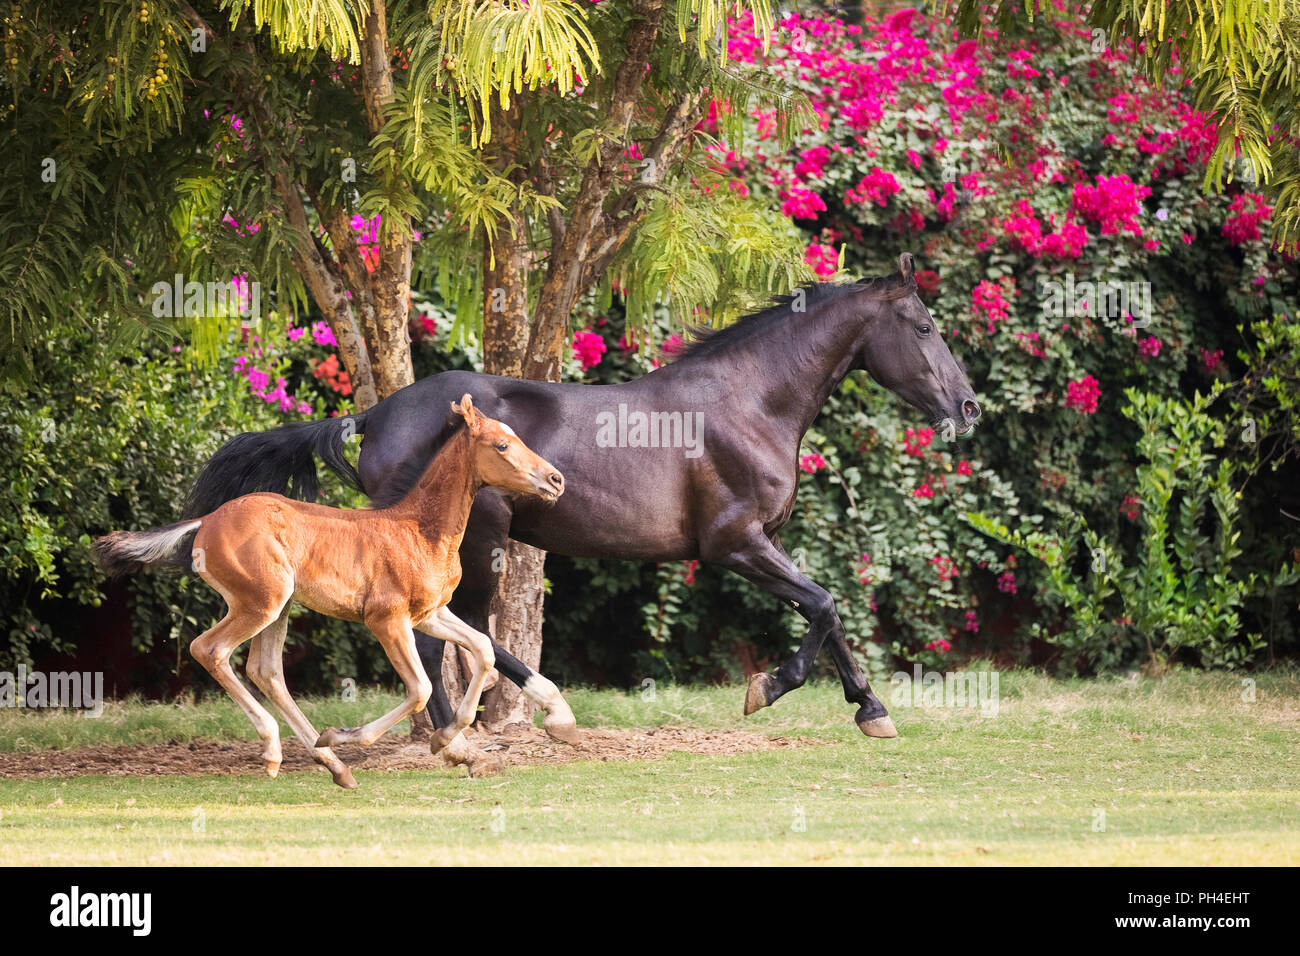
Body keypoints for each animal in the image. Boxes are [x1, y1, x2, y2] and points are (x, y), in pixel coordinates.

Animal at [95, 395, 568, 789]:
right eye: (501, 445)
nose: (556, 479)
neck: (419, 530)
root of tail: (205, 522)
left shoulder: (431, 612)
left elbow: (484, 651)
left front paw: (446, 738)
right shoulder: (386, 619)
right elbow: (420, 689)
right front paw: (350, 735)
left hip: (280, 607)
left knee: (266, 670)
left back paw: (333, 765)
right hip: (259, 603)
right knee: (208, 649)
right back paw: (277, 749)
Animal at [186, 253, 982, 765]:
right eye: (923, 327)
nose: (969, 407)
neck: (749, 404)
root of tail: (375, 416)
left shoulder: (763, 544)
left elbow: (831, 610)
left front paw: (872, 712)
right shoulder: (735, 544)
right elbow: (823, 604)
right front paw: (770, 688)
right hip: (475, 539)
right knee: (445, 638)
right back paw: (481, 730)